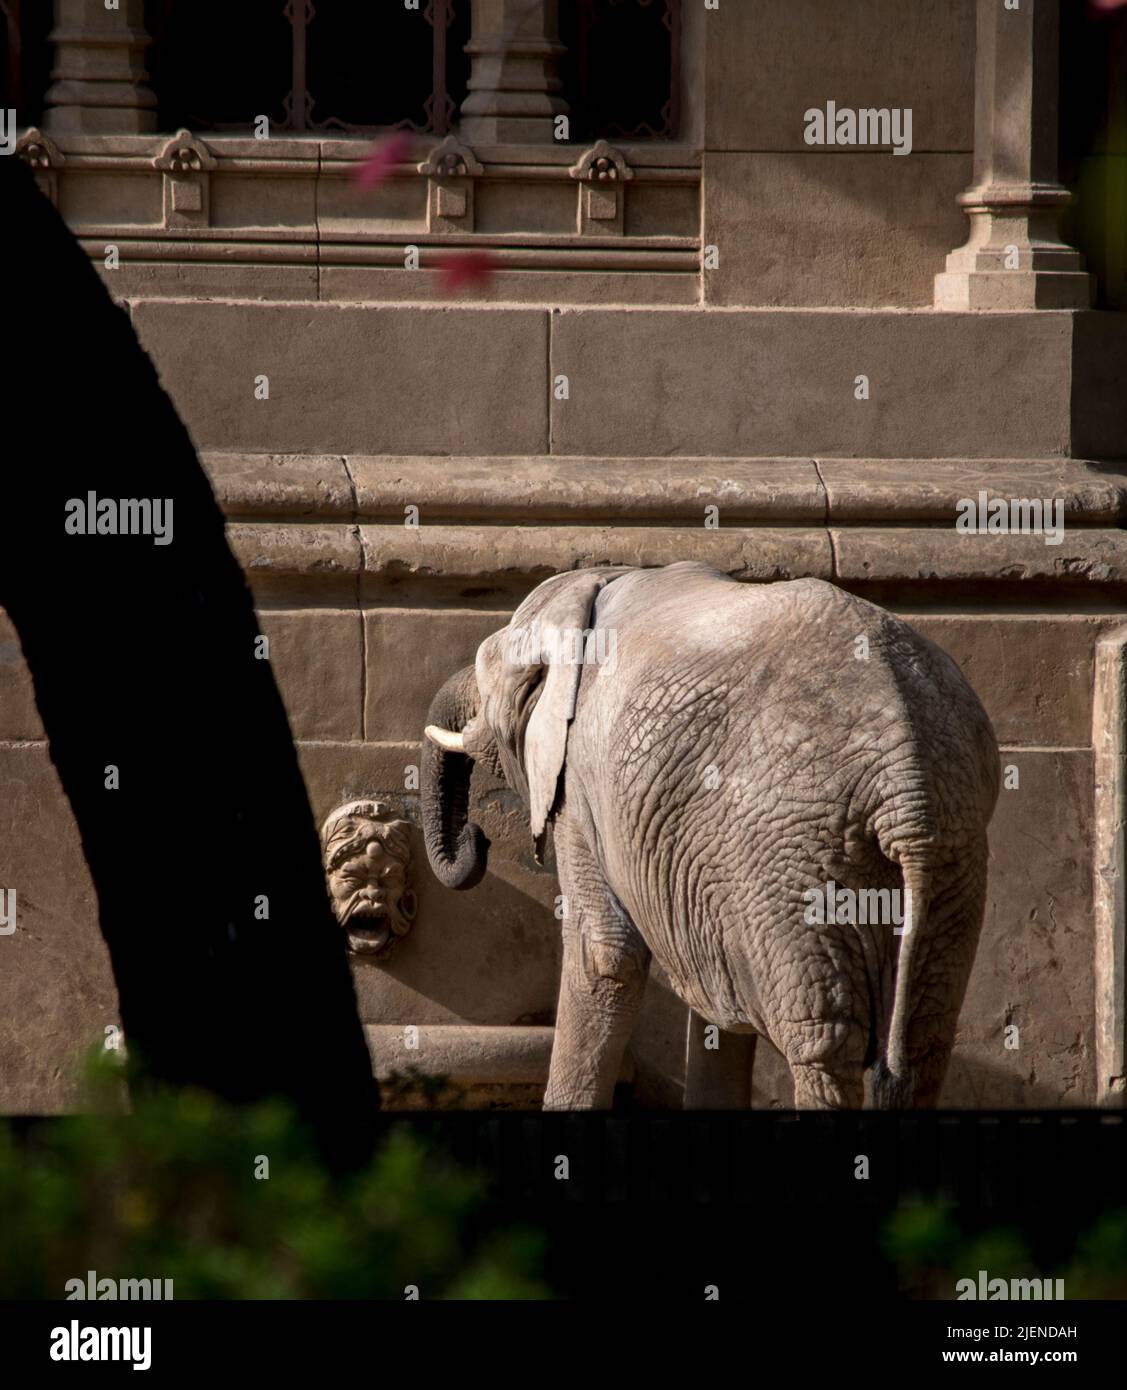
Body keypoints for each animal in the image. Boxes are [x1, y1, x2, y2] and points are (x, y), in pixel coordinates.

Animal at [421, 562, 1000, 1110]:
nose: (479, 838)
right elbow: (719, 987)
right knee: (921, 1042)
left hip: (788, 857)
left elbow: (604, 953)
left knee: (825, 1045)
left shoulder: (579, 789)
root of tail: (906, 780)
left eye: (486, 680)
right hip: (952, 852)